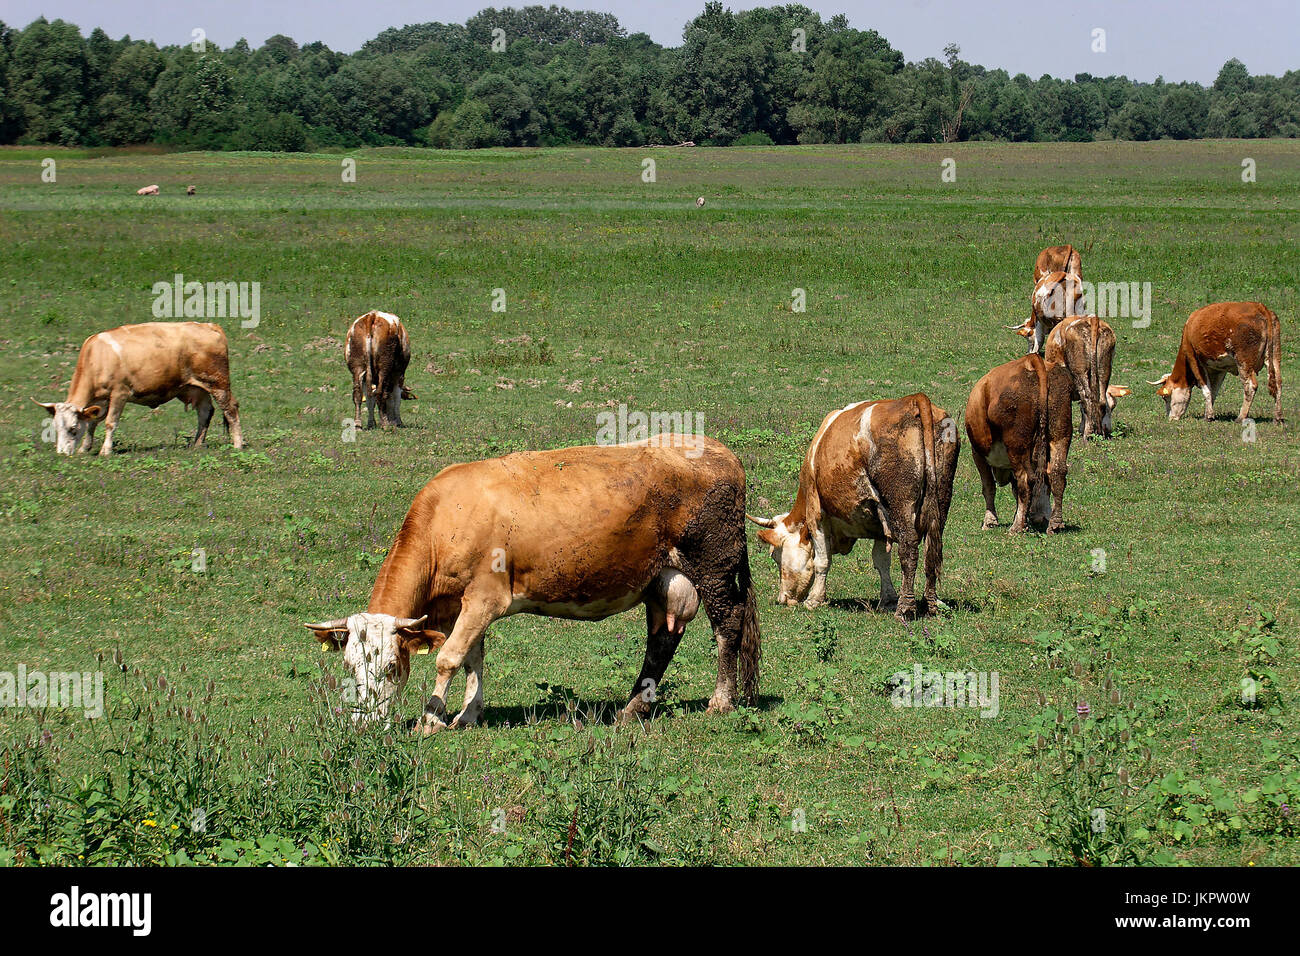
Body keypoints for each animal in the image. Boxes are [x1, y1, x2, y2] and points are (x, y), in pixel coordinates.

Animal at [32, 321, 245, 457]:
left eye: (73, 428)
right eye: (56, 428)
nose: (62, 453)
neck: (97, 356)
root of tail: (209, 326)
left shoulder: (120, 393)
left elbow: (110, 423)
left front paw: (105, 450)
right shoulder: (101, 401)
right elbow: (92, 423)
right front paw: (85, 448)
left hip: (218, 383)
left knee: (231, 410)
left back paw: (237, 444)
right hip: (197, 388)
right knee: (205, 412)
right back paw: (197, 444)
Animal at [303, 435, 760, 731]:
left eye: (391, 666)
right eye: (348, 665)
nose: (364, 724)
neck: (445, 518)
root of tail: (722, 451)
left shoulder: (485, 597)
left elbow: (449, 658)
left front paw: (431, 719)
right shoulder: (458, 605)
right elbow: (473, 657)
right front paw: (468, 715)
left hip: (714, 566)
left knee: (728, 625)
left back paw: (721, 701)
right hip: (663, 580)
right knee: (661, 642)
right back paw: (633, 709)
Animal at [745, 393, 958, 620]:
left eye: (776, 557)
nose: (783, 598)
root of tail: (913, 399)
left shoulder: (816, 513)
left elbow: (822, 560)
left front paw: (814, 600)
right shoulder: (881, 521)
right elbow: (881, 561)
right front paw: (888, 600)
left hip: (900, 502)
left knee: (909, 548)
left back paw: (905, 608)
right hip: (941, 497)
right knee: (931, 549)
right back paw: (931, 603)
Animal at [966, 355, 1073, 534]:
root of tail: (1032, 359)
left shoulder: (978, 454)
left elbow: (989, 486)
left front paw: (990, 521)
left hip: (1016, 444)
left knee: (1026, 479)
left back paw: (1016, 528)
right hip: (1060, 433)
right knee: (1057, 472)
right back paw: (1055, 522)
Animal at [1148, 302, 1283, 424]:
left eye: (1165, 397)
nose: (1170, 418)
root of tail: (1260, 307)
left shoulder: (1194, 360)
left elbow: (1206, 389)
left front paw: (1208, 416)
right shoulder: (1219, 368)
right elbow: (1213, 390)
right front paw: (1209, 413)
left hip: (1244, 362)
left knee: (1250, 386)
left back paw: (1240, 417)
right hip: (1275, 357)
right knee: (1278, 383)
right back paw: (1278, 418)